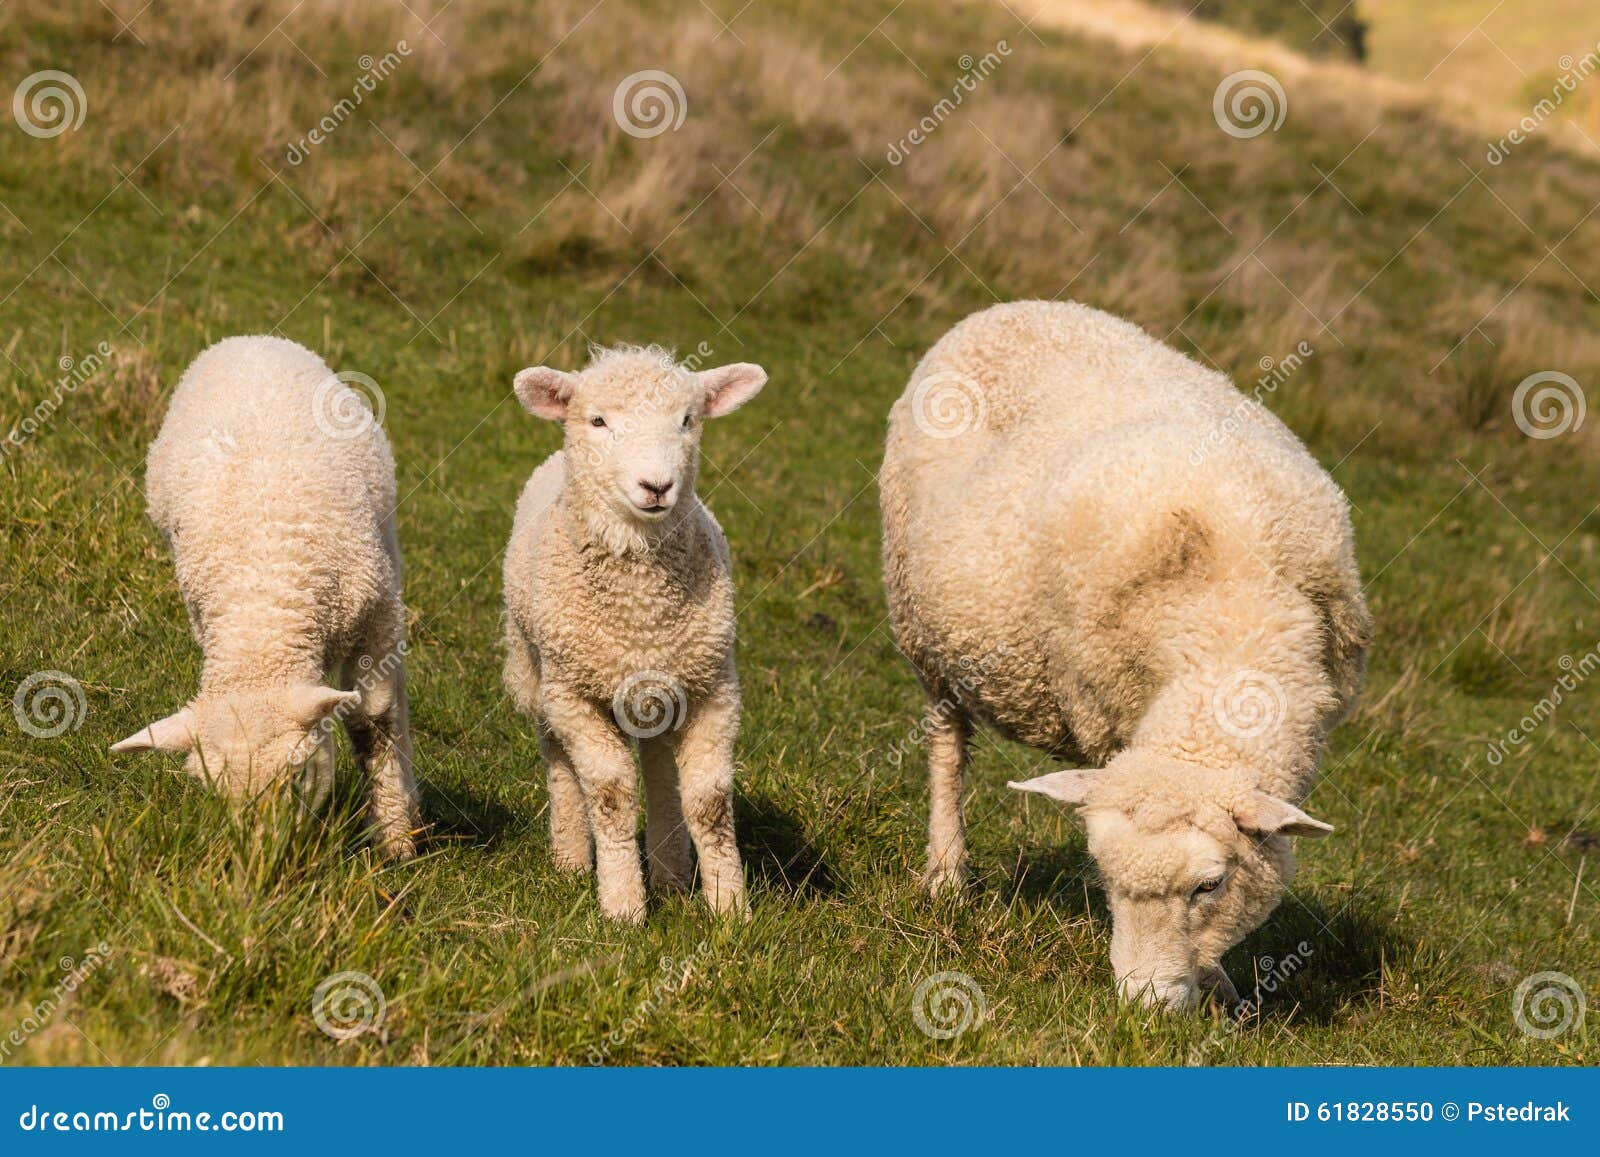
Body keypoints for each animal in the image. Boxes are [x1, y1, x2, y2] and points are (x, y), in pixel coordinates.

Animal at [110, 335, 421, 860]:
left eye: (298, 776)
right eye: (214, 793)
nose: (263, 859)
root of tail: (248, 340)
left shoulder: (375, 620)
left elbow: (374, 724)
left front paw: (395, 838)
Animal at [502, 344, 768, 923]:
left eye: (687, 420)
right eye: (598, 421)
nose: (657, 486)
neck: (641, 610)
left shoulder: (714, 689)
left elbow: (709, 802)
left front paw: (730, 912)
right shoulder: (574, 696)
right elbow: (610, 796)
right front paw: (623, 907)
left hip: (661, 691)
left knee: (661, 771)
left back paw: (671, 875)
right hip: (537, 673)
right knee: (560, 763)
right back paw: (572, 859)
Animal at [880, 301, 1371, 1010]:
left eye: (1210, 885)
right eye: (1105, 877)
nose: (1143, 1010)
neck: (1232, 622)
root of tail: (1011, 308)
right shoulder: (1105, 710)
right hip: (928, 636)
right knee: (948, 749)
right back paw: (946, 873)